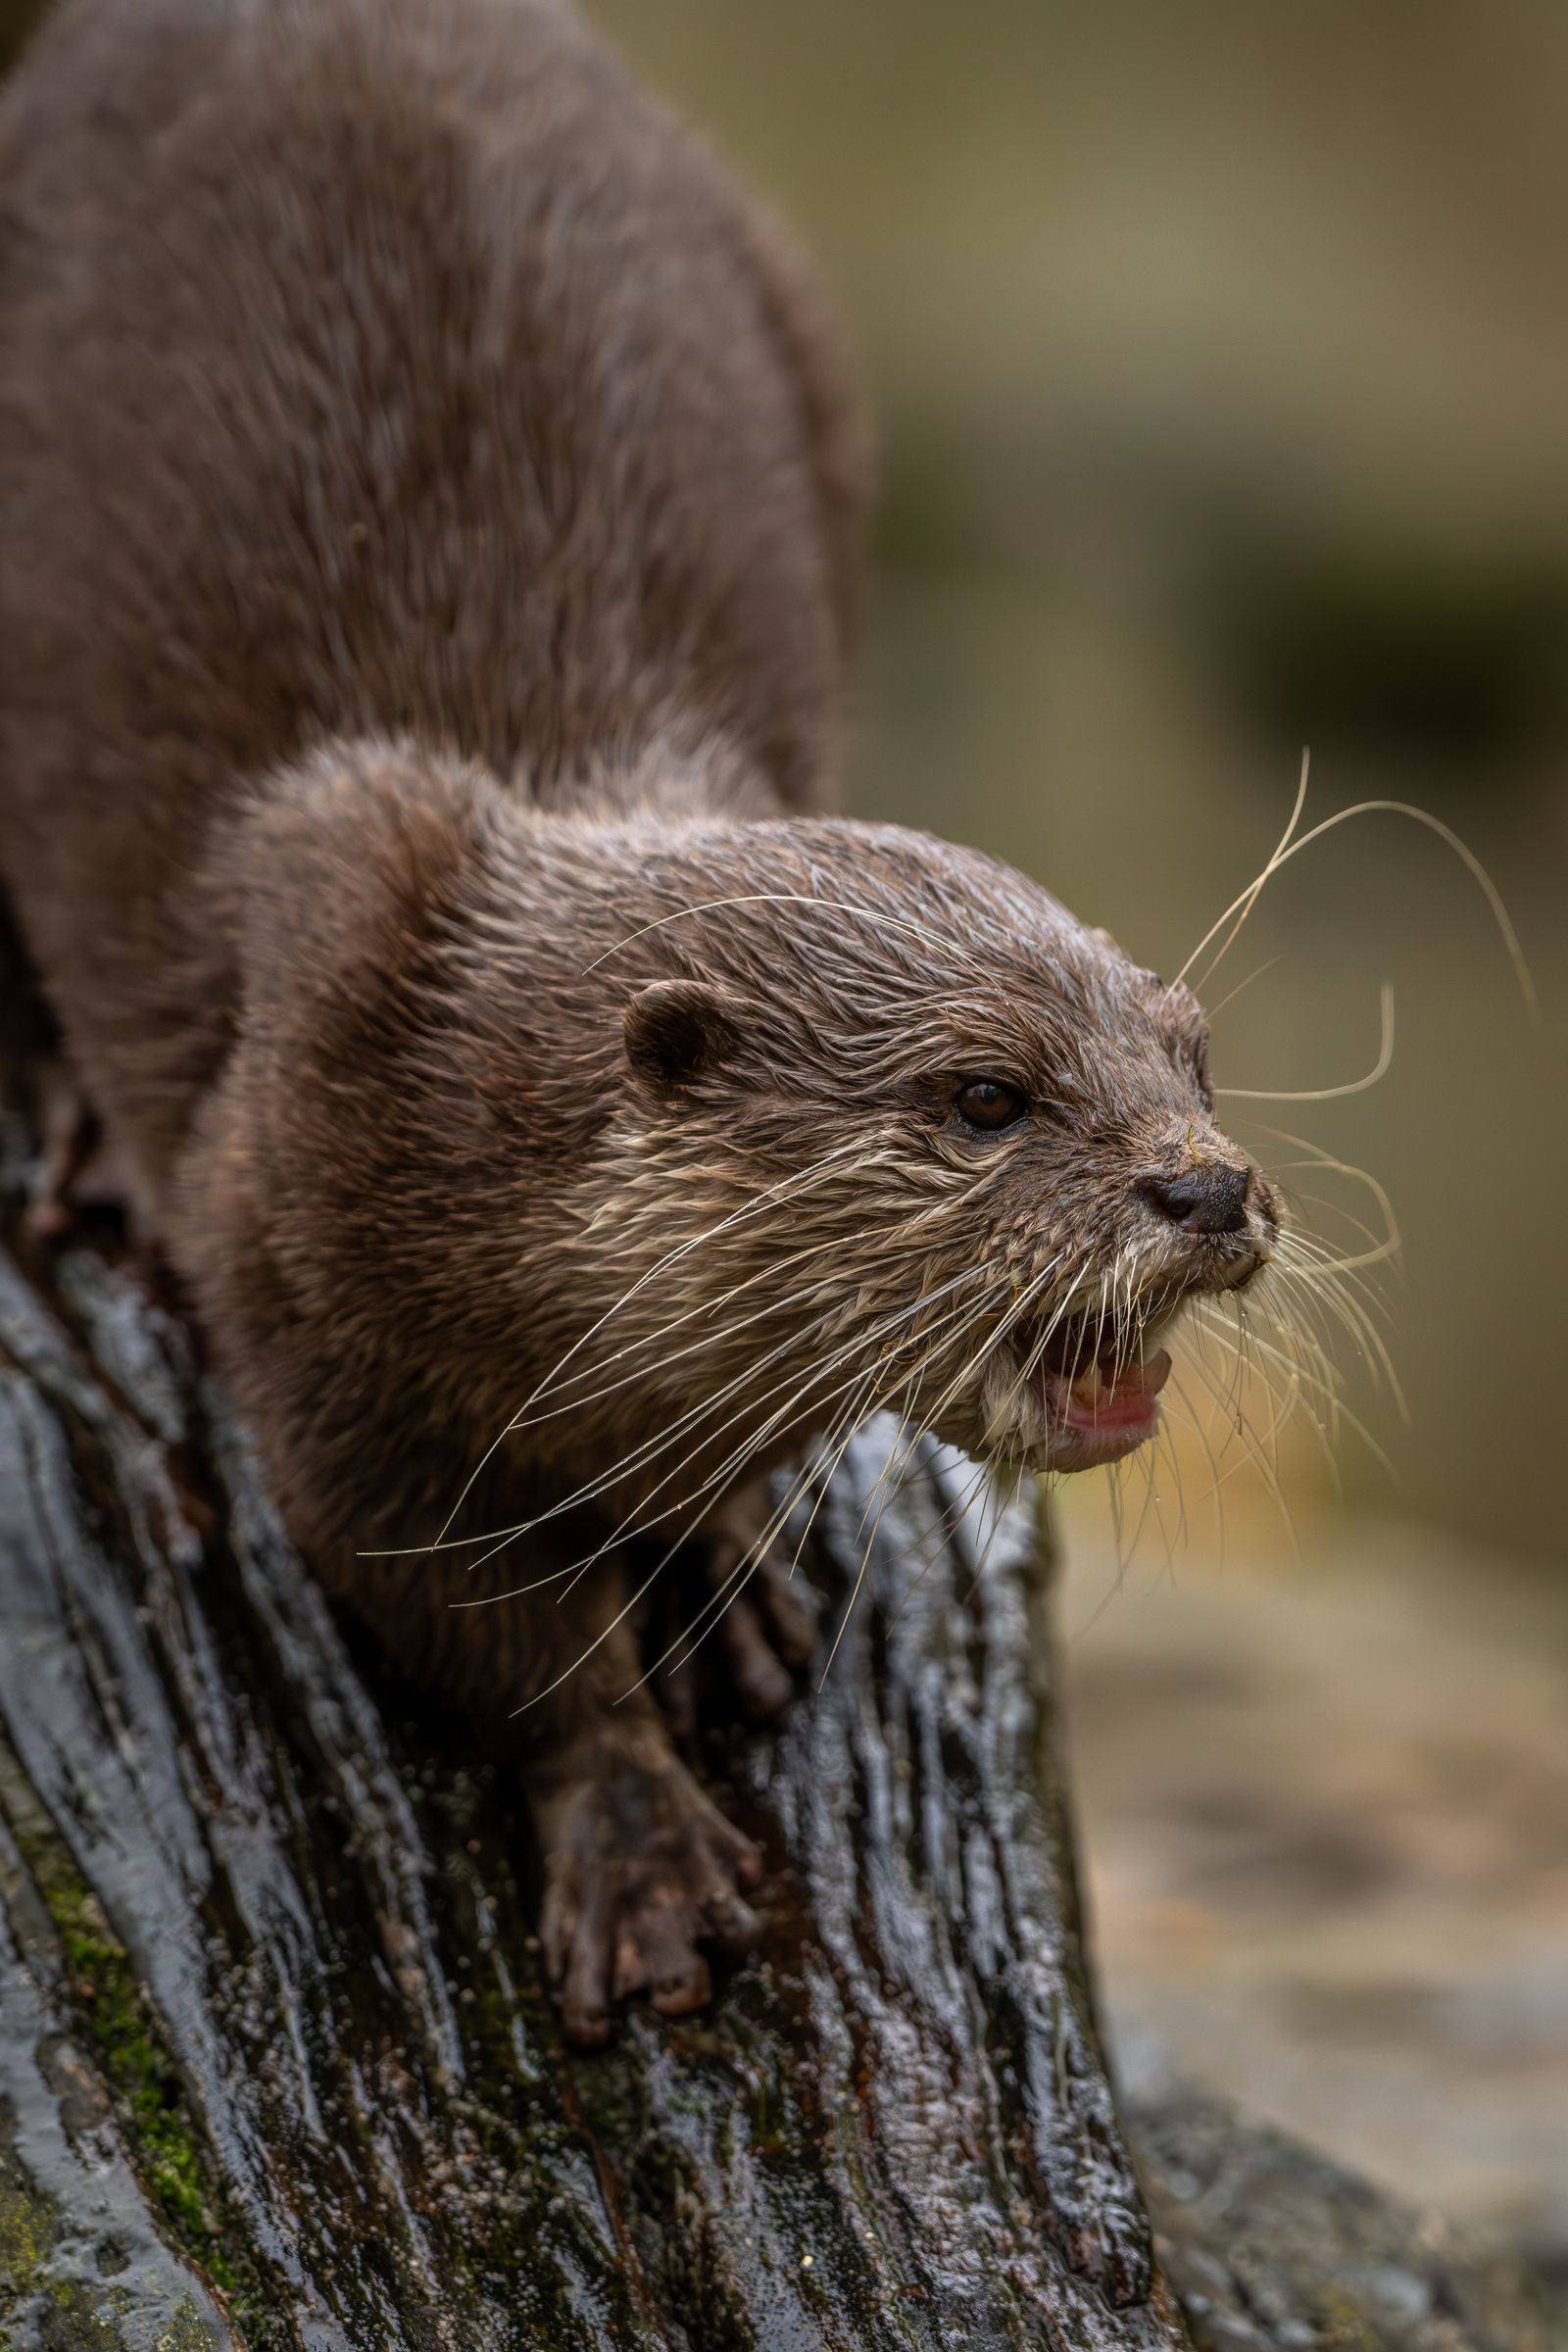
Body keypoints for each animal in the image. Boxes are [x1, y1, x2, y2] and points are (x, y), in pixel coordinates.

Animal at [0, 0, 1276, 2044]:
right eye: (986, 1096)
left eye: (1192, 1049)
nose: (1211, 1190)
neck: (457, 1096)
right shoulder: (316, 1338)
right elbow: (495, 1640)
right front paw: (637, 1837)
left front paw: (730, 1559)